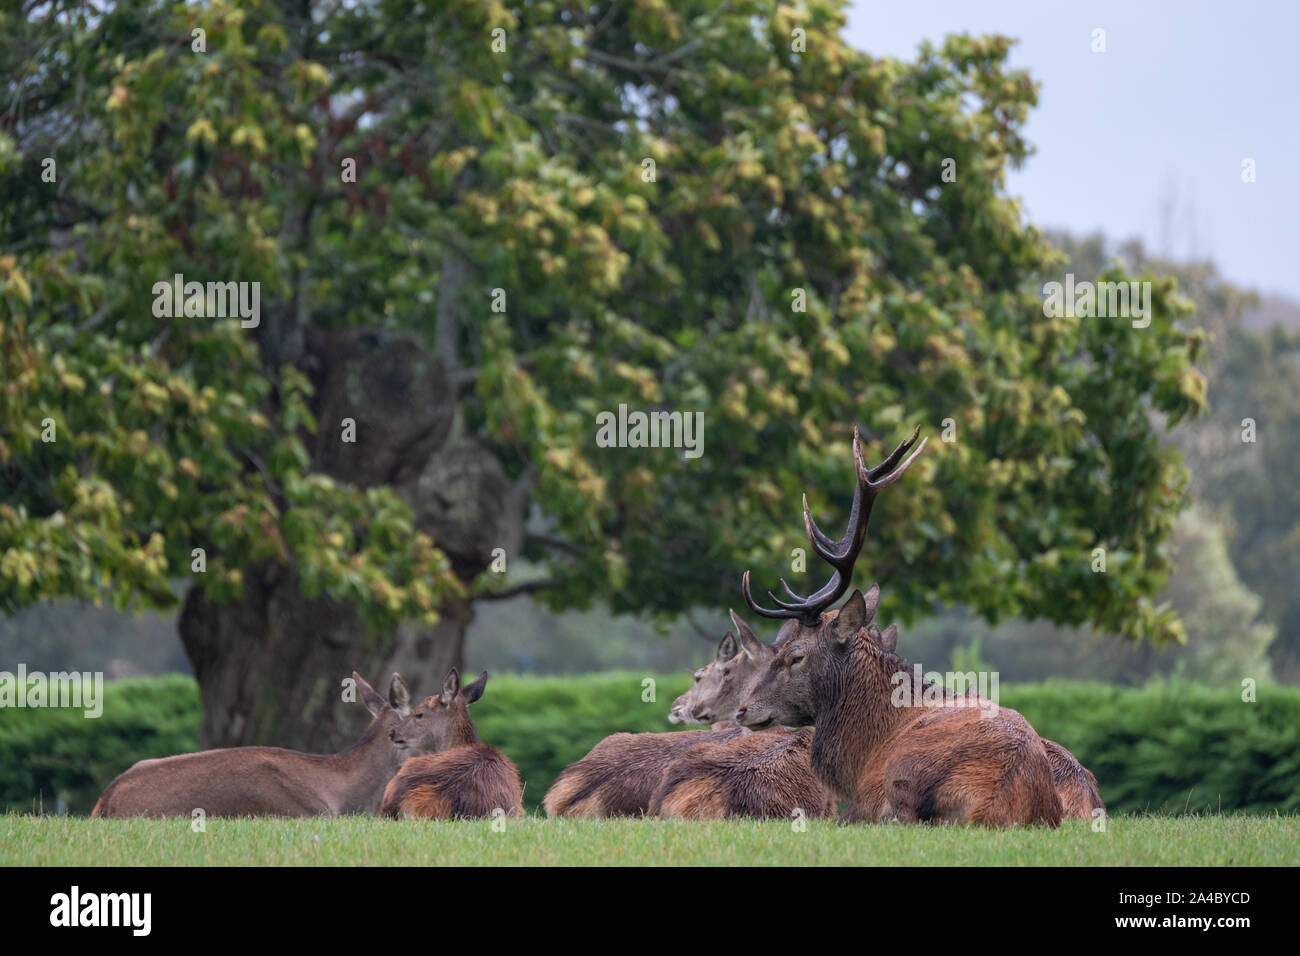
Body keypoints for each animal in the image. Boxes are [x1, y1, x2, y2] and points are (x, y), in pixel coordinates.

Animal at [735, 426, 1077, 827]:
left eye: (795, 656)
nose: (742, 710)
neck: (862, 753)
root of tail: (995, 803)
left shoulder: (863, 798)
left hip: (904, 770)